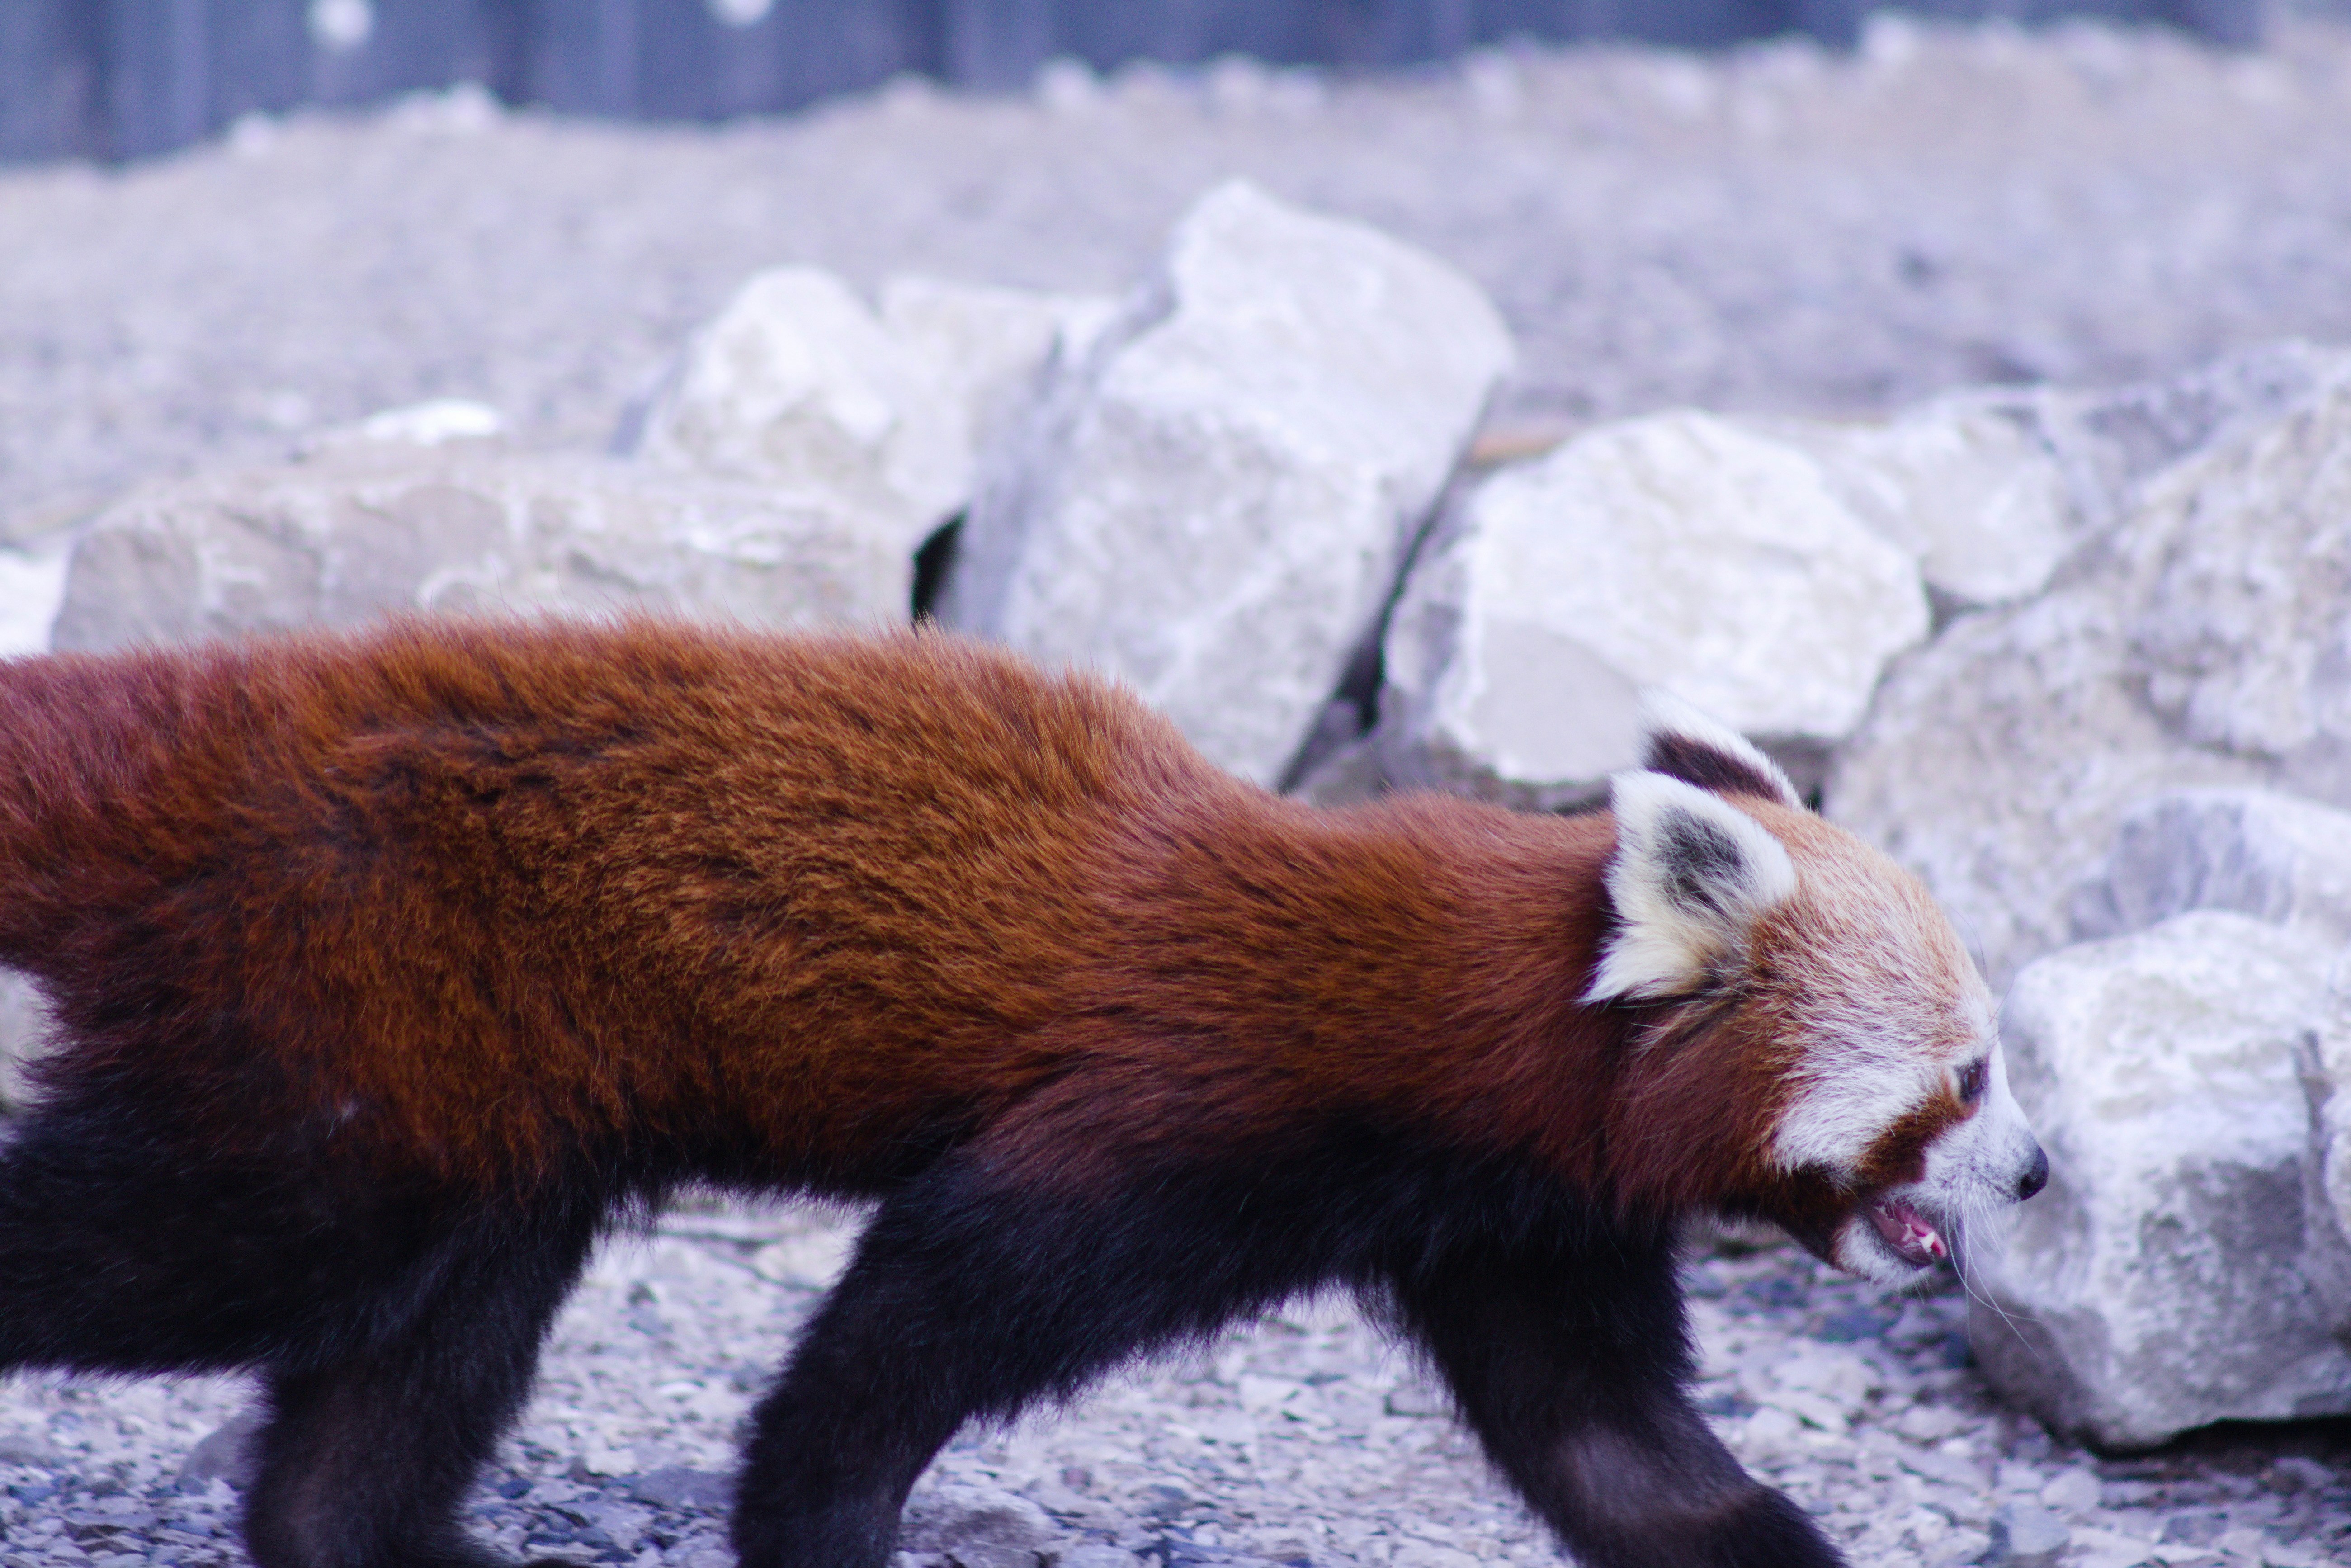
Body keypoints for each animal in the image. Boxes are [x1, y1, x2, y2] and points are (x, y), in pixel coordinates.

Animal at [0, 618, 2044, 1568]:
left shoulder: (1514, 1217)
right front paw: (819, 1519)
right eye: (1967, 1075)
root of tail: (231, 720)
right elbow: (910, 1325)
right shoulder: (1182, 1109)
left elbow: (1615, 1446)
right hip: (331, 1033)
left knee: (413, 1355)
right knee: (181, 1246)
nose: (2035, 1178)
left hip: (477, 1108)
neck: (1456, 1036)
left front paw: (1771, 1539)